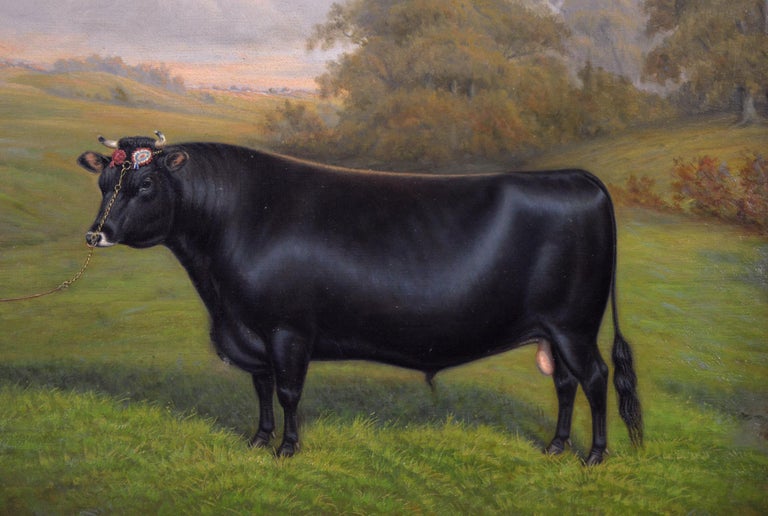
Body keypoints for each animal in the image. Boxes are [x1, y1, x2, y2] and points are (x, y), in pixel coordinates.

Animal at [77, 132, 642, 465]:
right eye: (104, 181)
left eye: (145, 185)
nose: (96, 234)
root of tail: (576, 177)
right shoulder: (251, 330)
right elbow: (261, 389)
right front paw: (258, 440)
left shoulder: (288, 331)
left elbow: (288, 392)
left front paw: (287, 448)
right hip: (554, 331)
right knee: (566, 383)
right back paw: (555, 446)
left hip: (574, 326)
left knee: (594, 379)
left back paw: (594, 454)